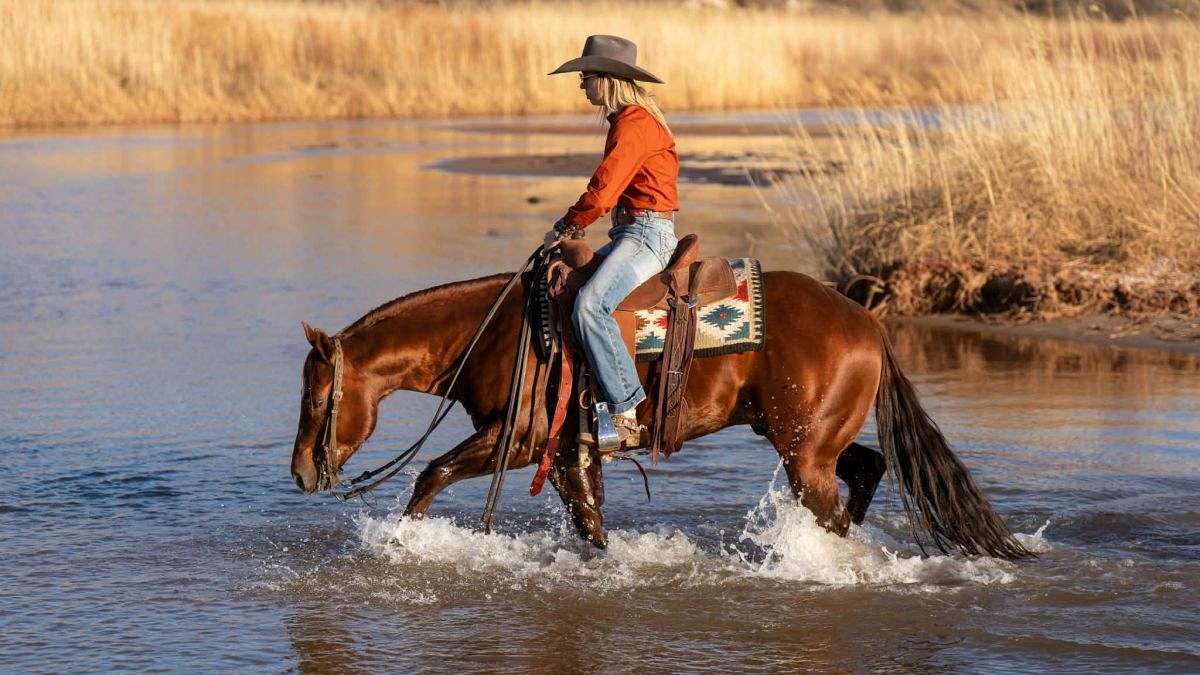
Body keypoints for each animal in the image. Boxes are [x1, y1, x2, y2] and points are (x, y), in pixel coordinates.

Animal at [289, 268, 1031, 560]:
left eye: (319, 399)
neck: (499, 331)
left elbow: (429, 475)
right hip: (809, 440)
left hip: (805, 456)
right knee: (870, 468)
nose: (299, 473)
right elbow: (589, 521)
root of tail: (867, 322)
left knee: (836, 509)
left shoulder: (520, 439)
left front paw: (404, 543)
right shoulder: (566, 455)